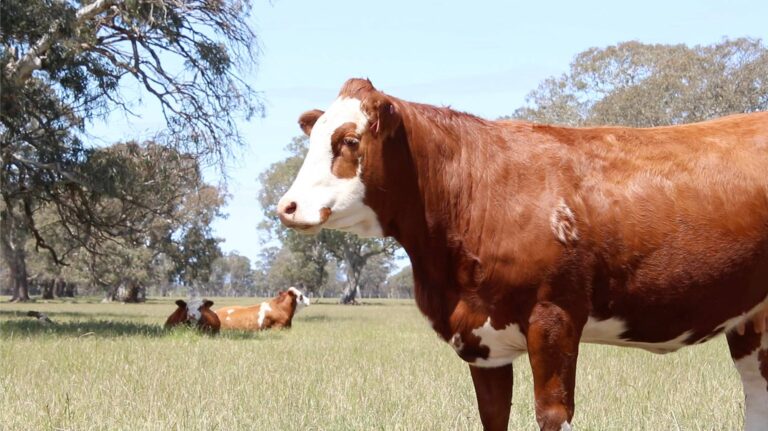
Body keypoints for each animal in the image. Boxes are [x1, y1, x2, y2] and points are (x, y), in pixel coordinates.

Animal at [276, 78, 768, 431]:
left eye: (349, 140)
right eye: (313, 139)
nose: (287, 206)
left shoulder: (554, 318)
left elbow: (552, 412)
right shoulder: (482, 342)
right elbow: (493, 416)